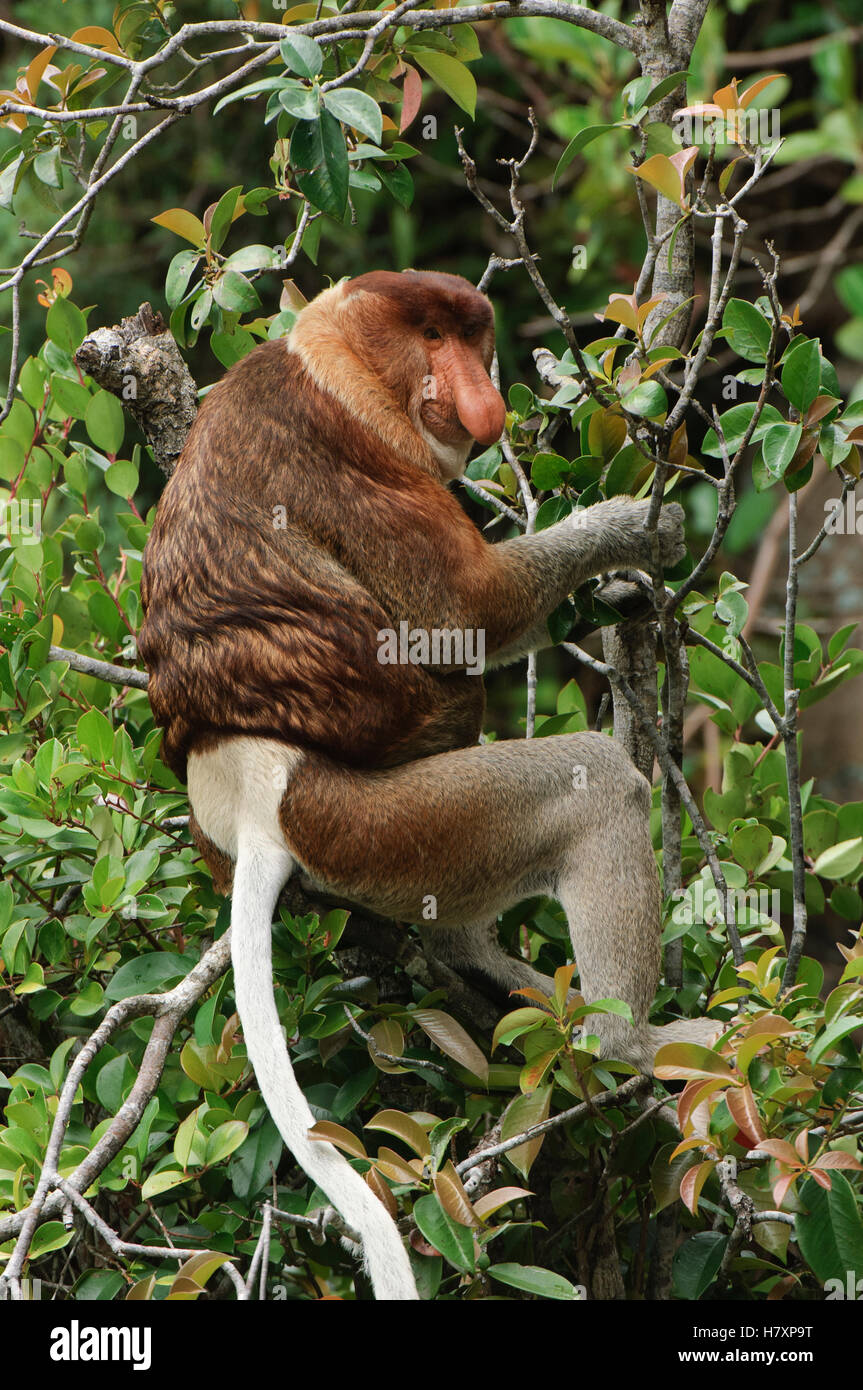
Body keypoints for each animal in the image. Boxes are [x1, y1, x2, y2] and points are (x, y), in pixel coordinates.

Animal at [139, 269, 715, 1301]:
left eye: (471, 335)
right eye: (433, 335)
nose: (481, 397)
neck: (333, 356)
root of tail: (250, 794)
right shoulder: (355, 451)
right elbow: (467, 609)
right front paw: (635, 532)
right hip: (373, 820)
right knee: (595, 787)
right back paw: (628, 1044)